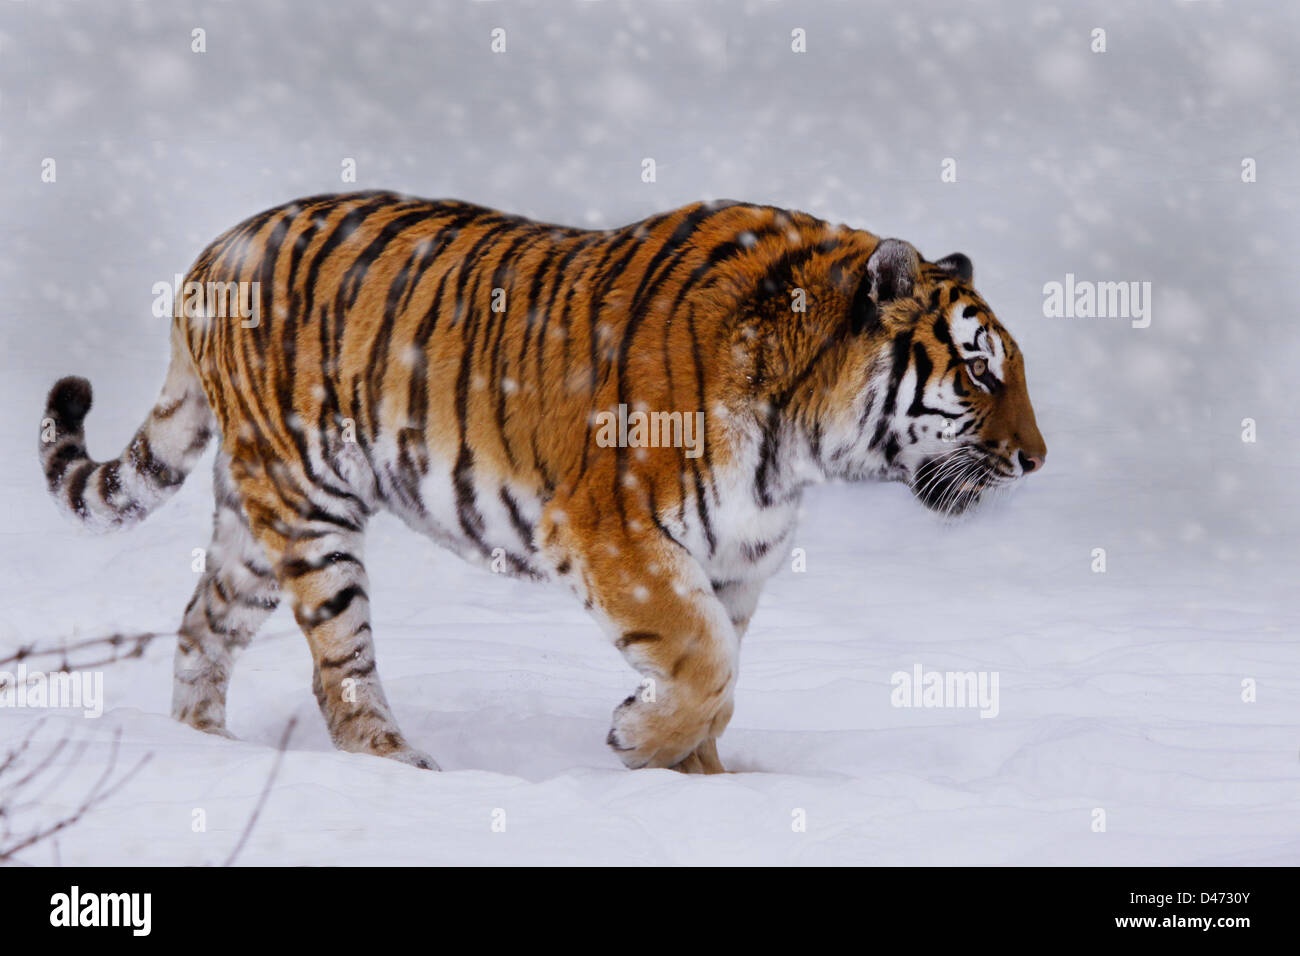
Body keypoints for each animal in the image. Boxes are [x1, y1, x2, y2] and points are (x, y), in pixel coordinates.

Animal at [38, 191, 1046, 773]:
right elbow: (706, 665)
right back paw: (397, 767)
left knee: (200, 627)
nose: (1039, 459)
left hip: (254, 523)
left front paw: (699, 786)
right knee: (340, 668)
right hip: (308, 507)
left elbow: (719, 683)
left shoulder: (734, 562)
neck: (798, 442)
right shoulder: (620, 534)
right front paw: (638, 742)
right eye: (981, 372)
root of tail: (217, 250)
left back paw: (205, 749)